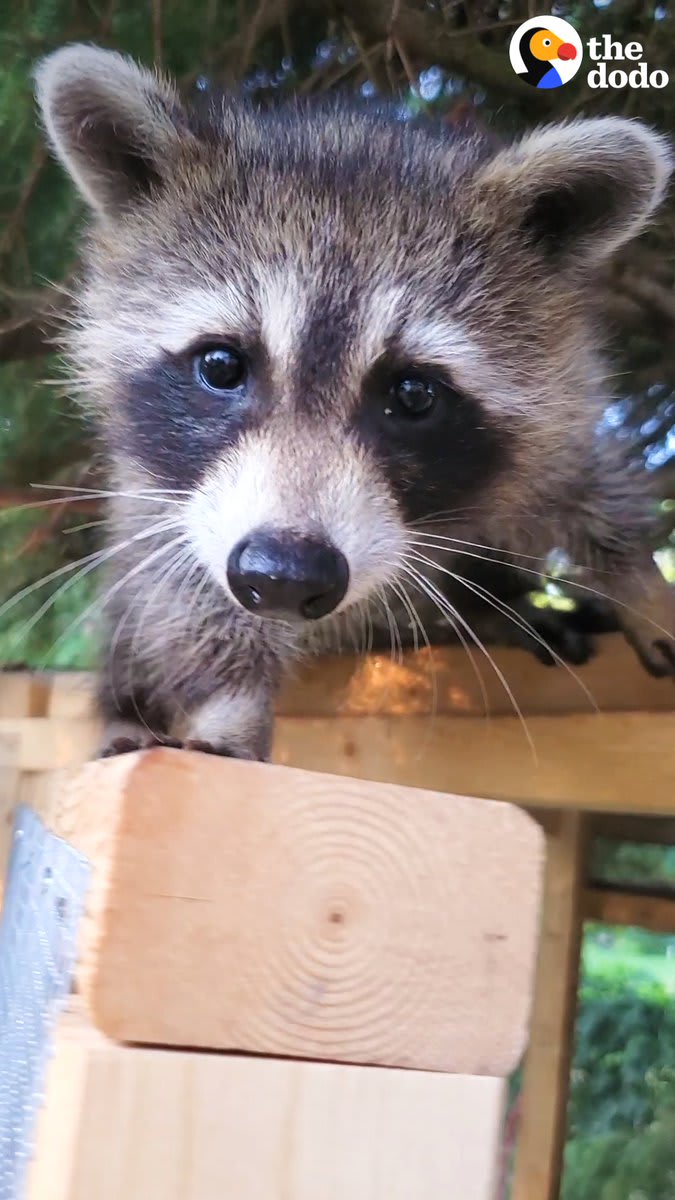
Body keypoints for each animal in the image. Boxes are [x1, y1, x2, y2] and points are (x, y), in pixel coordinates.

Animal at [35, 44, 675, 759]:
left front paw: (636, 577)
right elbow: (186, 589)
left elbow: (580, 471)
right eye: (221, 366)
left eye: (413, 393)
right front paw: (229, 705)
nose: (286, 576)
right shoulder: (166, 496)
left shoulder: (553, 400)